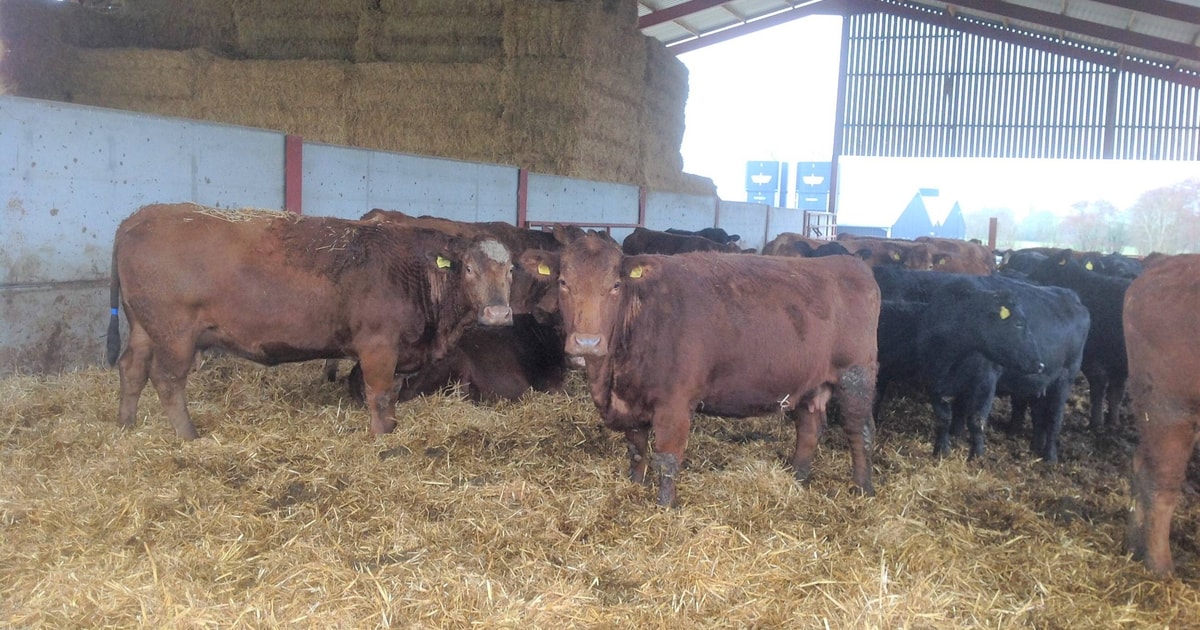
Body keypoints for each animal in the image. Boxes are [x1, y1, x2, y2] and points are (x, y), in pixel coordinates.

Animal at [105, 203, 514, 438]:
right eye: (469, 269)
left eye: (510, 270)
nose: (498, 313)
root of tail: (141, 216)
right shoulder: (378, 346)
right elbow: (380, 394)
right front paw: (383, 437)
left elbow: (394, 394)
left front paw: (393, 426)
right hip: (175, 334)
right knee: (166, 380)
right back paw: (188, 434)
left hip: (143, 326)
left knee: (132, 368)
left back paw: (126, 424)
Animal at [520, 234, 881, 507]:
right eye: (563, 282)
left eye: (616, 285)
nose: (587, 342)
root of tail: (850, 265)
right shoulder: (631, 399)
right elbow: (636, 450)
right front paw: (634, 486)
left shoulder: (675, 404)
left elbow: (667, 458)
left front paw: (664, 507)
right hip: (809, 383)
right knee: (809, 429)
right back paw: (797, 479)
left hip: (856, 375)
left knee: (859, 430)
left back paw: (863, 489)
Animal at [873, 268, 1050, 459]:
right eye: (1018, 324)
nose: (1040, 365)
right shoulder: (935, 381)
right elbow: (944, 417)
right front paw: (942, 449)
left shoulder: (985, 383)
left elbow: (977, 420)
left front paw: (977, 455)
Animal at [1029, 249, 1131, 432]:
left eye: (1044, 266)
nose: (1028, 276)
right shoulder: (1119, 365)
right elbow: (1116, 392)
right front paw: (1113, 423)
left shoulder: (1092, 357)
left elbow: (1099, 386)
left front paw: (1096, 423)